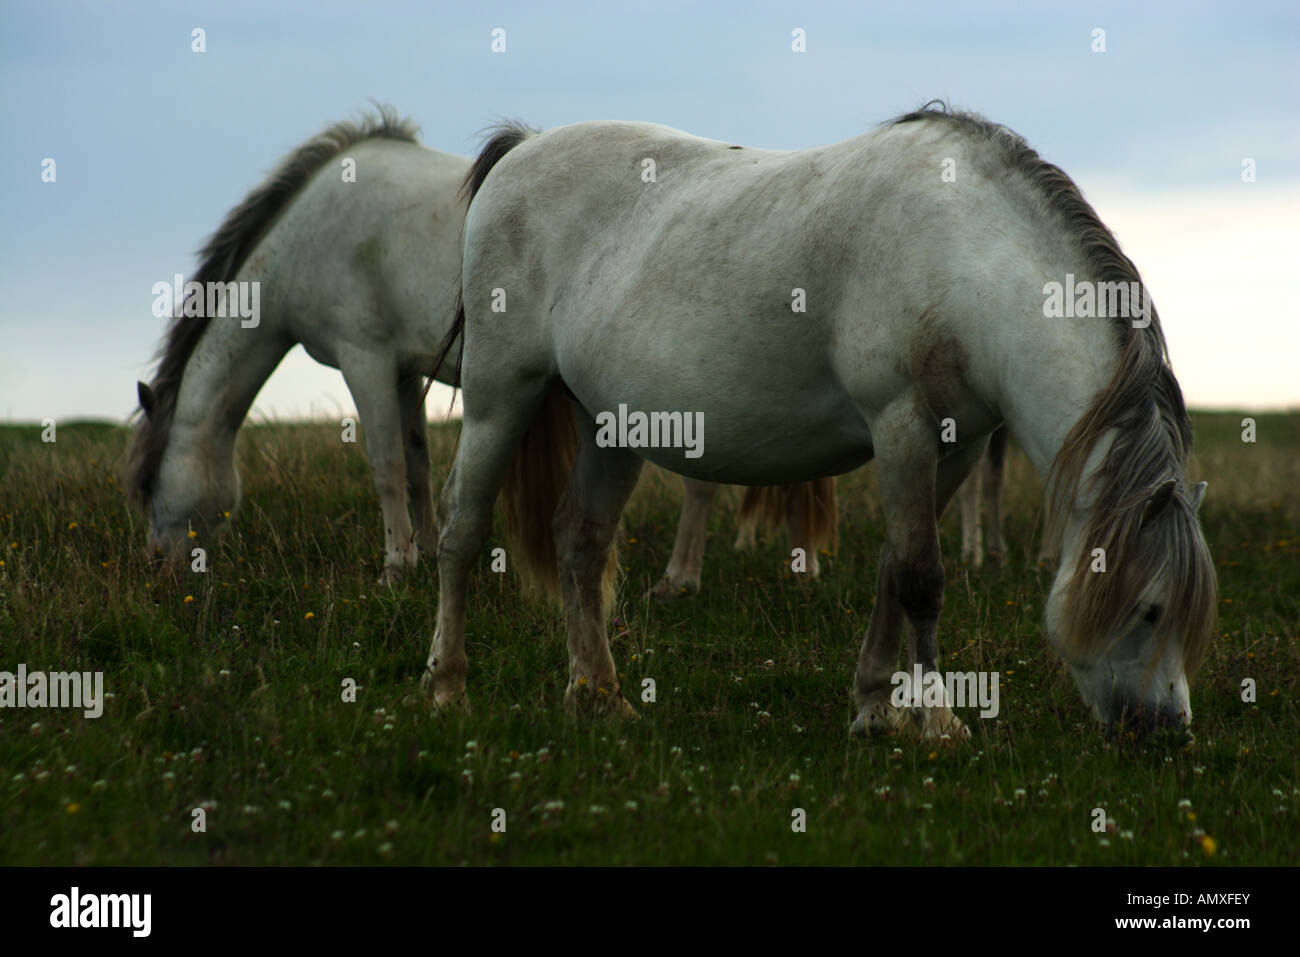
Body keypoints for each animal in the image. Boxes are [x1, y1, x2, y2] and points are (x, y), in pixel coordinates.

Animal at [126, 107, 828, 587]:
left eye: (148, 484)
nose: (156, 568)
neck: (314, 233)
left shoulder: (364, 358)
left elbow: (383, 464)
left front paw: (395, 566)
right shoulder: (405, 370)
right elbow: (414, 465)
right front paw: (426, 550)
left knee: (702, 488)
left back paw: (681, 580)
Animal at [423, 103, 1216, 739]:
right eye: (1149, 609)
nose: (1168, 729)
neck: (961, 256)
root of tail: (523, 148)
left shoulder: (954, 451)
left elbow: (893, 569)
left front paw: (874, 708)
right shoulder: (901, 426)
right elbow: (922, 578)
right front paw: (937, 721)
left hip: (609, 427)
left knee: (580, 542)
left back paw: (599, 697)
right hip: (501, 396)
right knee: (462, 530)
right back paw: (448, 688)